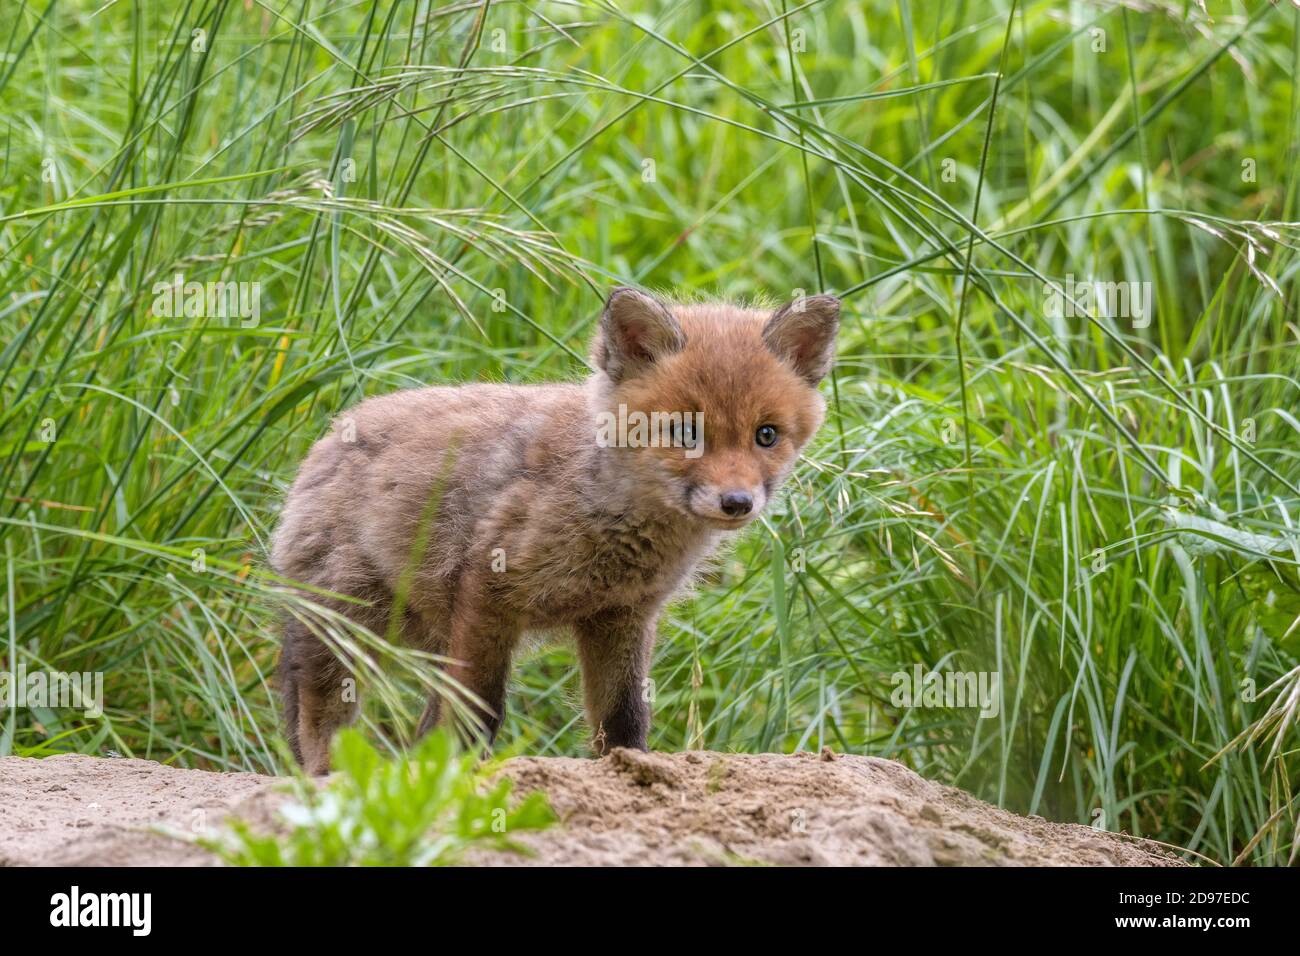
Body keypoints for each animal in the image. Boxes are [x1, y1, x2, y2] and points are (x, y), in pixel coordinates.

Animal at [271, 286, 841, 773]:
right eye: (684, 432)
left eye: (766, 435)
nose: (737, 502)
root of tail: (331, 433)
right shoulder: (487, 596)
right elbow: (479, 712)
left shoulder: (621, 617)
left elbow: (623, 716)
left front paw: (634, 771)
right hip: (344, 622)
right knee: (317, 713)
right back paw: (322, 776)